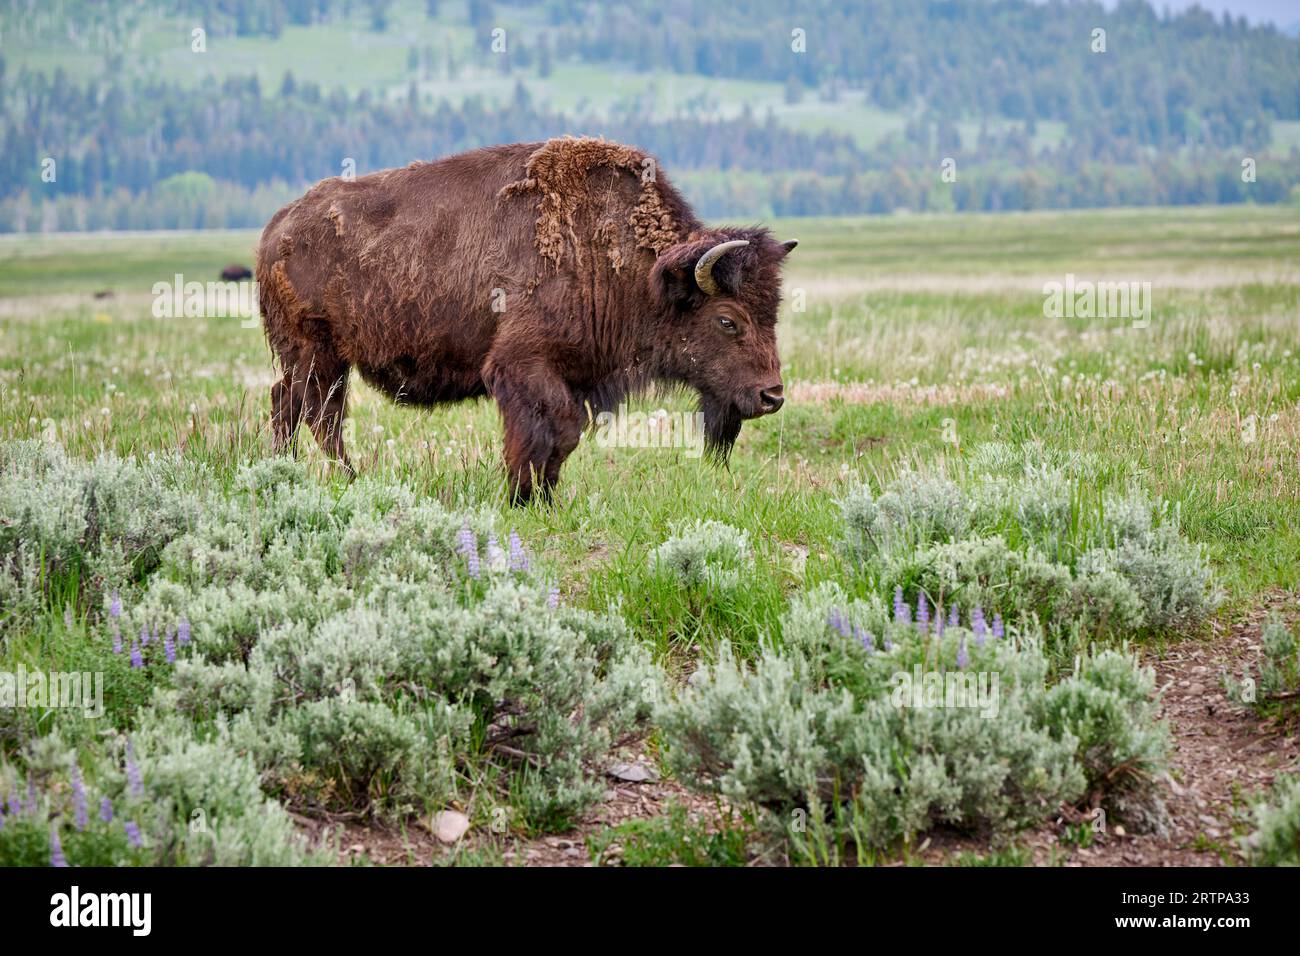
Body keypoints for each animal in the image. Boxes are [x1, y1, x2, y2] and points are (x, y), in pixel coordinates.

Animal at [257, 137, 796, 503]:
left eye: (772, 313)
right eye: (727, 320)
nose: (772, 395)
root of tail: (277, 227)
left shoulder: (573, 373)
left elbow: (563, 436)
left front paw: (544, 496)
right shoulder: (522, 365)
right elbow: (553, 430)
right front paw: (522, 494)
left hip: (324, 359)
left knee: (299, 407)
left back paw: (299, 472)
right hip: (314, 352)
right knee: (310, 411)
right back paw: (340, 476)